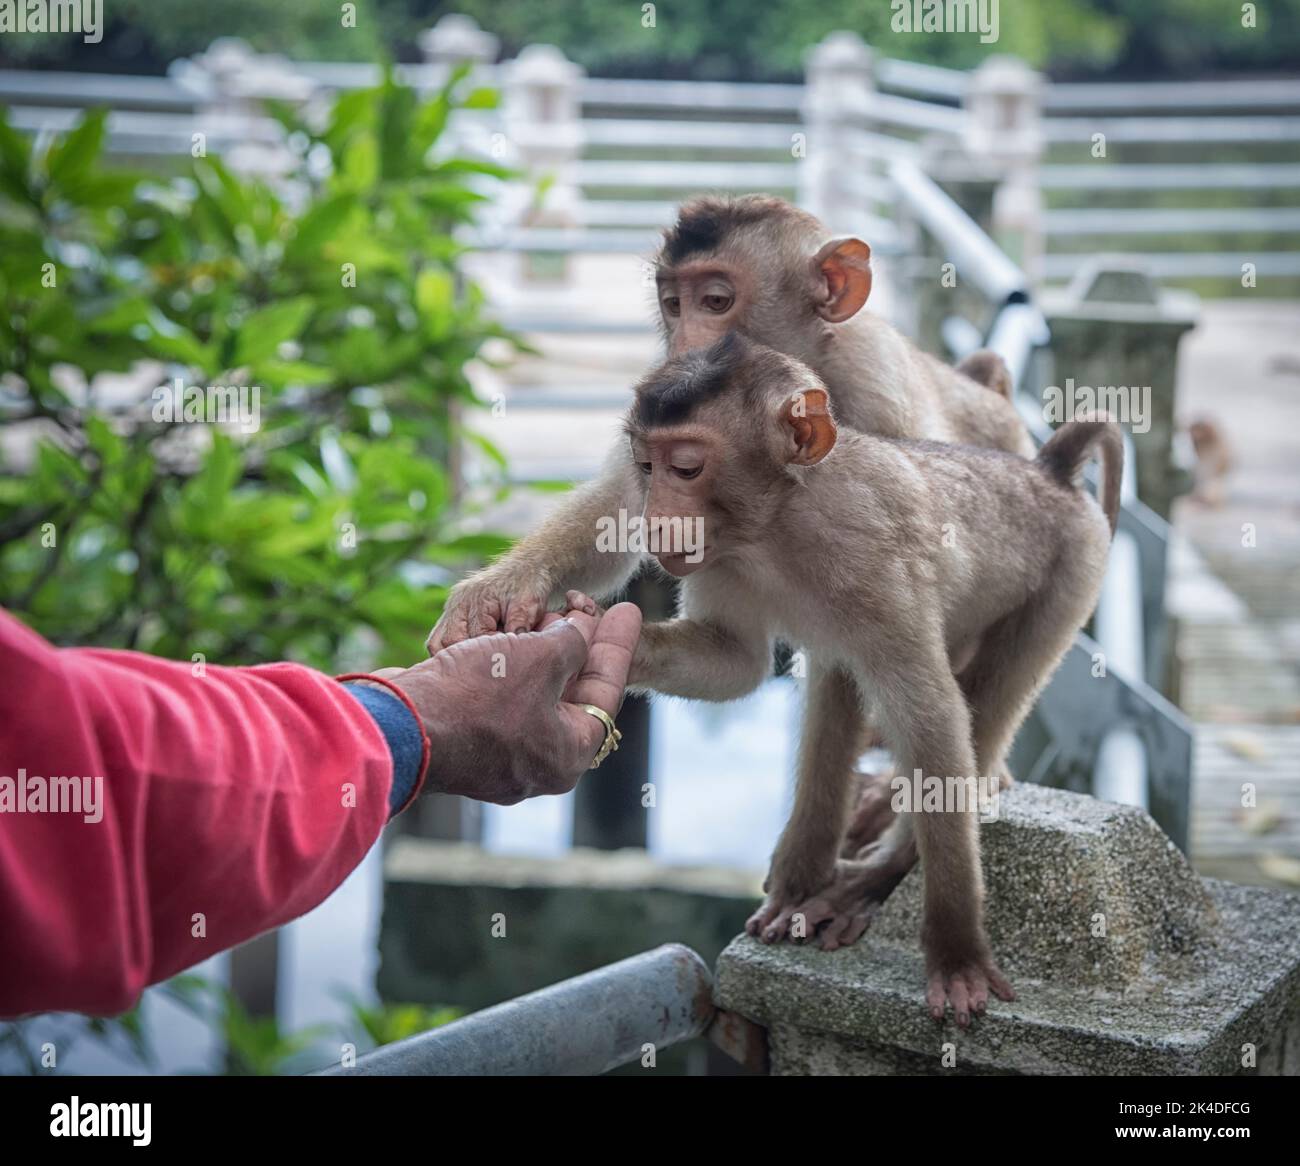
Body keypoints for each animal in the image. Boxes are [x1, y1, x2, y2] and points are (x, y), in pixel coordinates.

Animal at [426, 194, 1034, 656]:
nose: (687, 345)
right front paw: (499, 590)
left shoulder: (878, 393)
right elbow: (629, 500)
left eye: (716, 300)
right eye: (673, 304)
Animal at [572, 332, 1121, 1025]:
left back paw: (874, 877)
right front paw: (597, 636)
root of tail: (1048, 472)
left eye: (687, 469)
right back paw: (805, 877)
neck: (780, 521)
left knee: (987, 701)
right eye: (646, 466)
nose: (655, 516)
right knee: (837, 673)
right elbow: (733, 661)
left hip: (1073, 572)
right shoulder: (719, 559)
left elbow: (931, 719)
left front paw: (957, 951)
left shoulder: (873, 561)